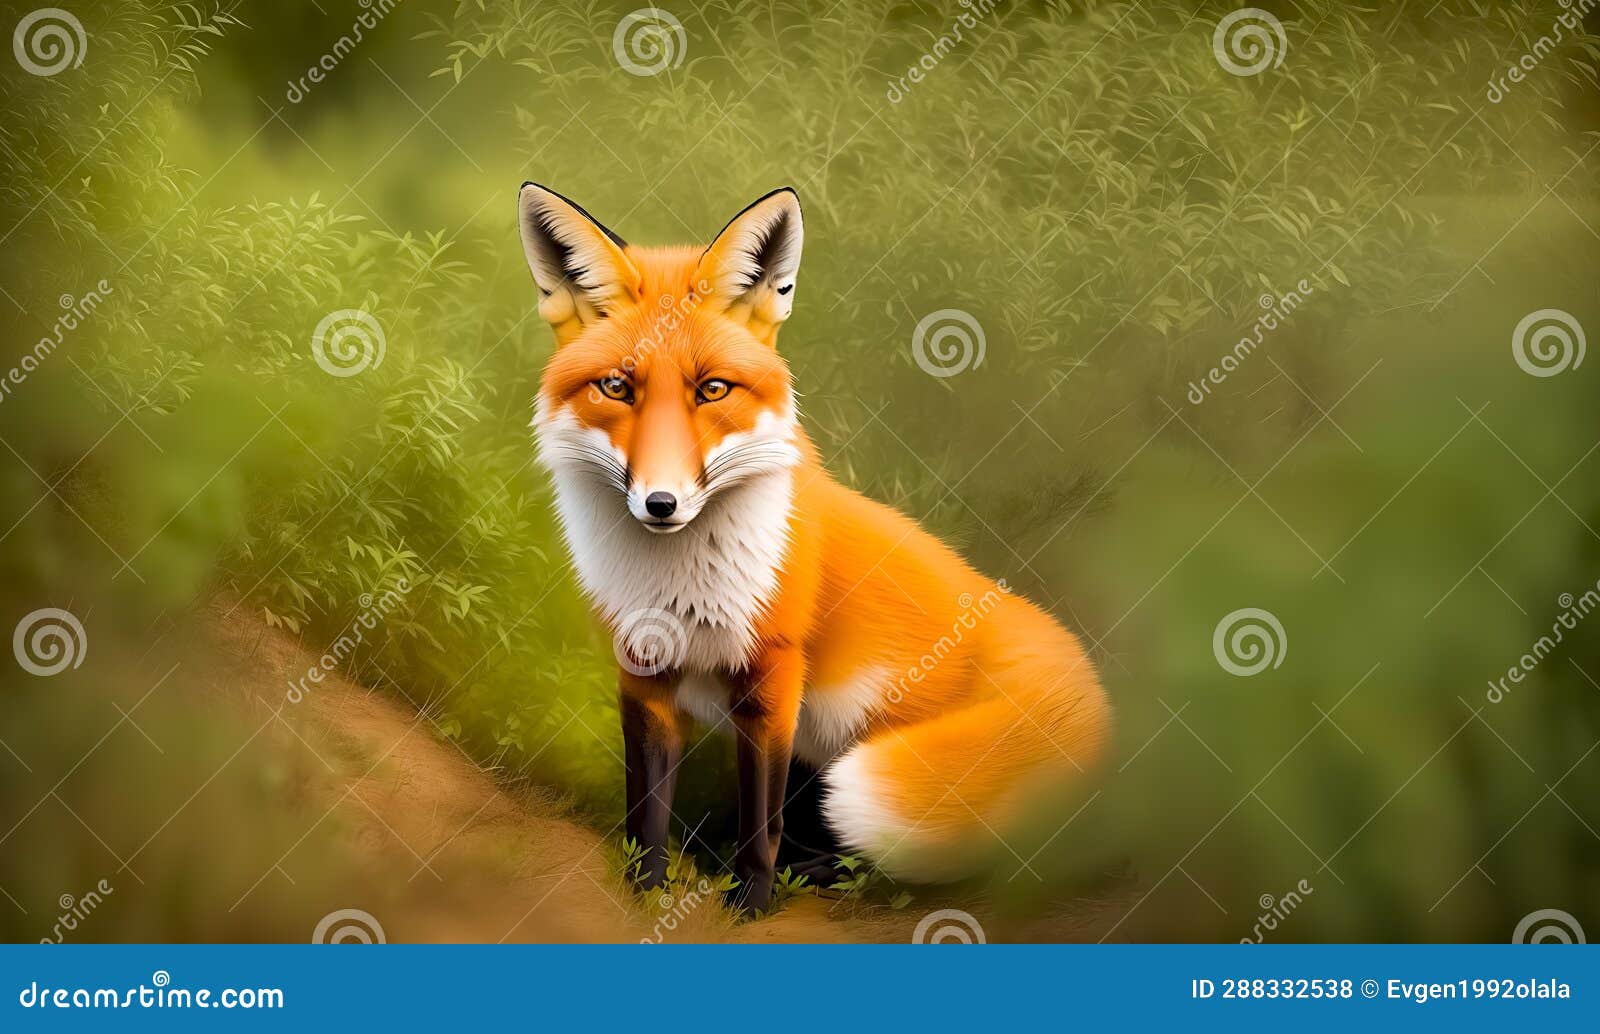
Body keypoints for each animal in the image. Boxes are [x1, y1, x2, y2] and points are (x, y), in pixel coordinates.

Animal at [518, 181, 1111, 913]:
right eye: (616, 388)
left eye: (712, 390)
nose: (661, 504)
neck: (676, 583)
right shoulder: (644, 673)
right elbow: (647, 807)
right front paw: (645, 889)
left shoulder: (775, 673)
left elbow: (760, 818)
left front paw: (750, 901)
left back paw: (814, 872)